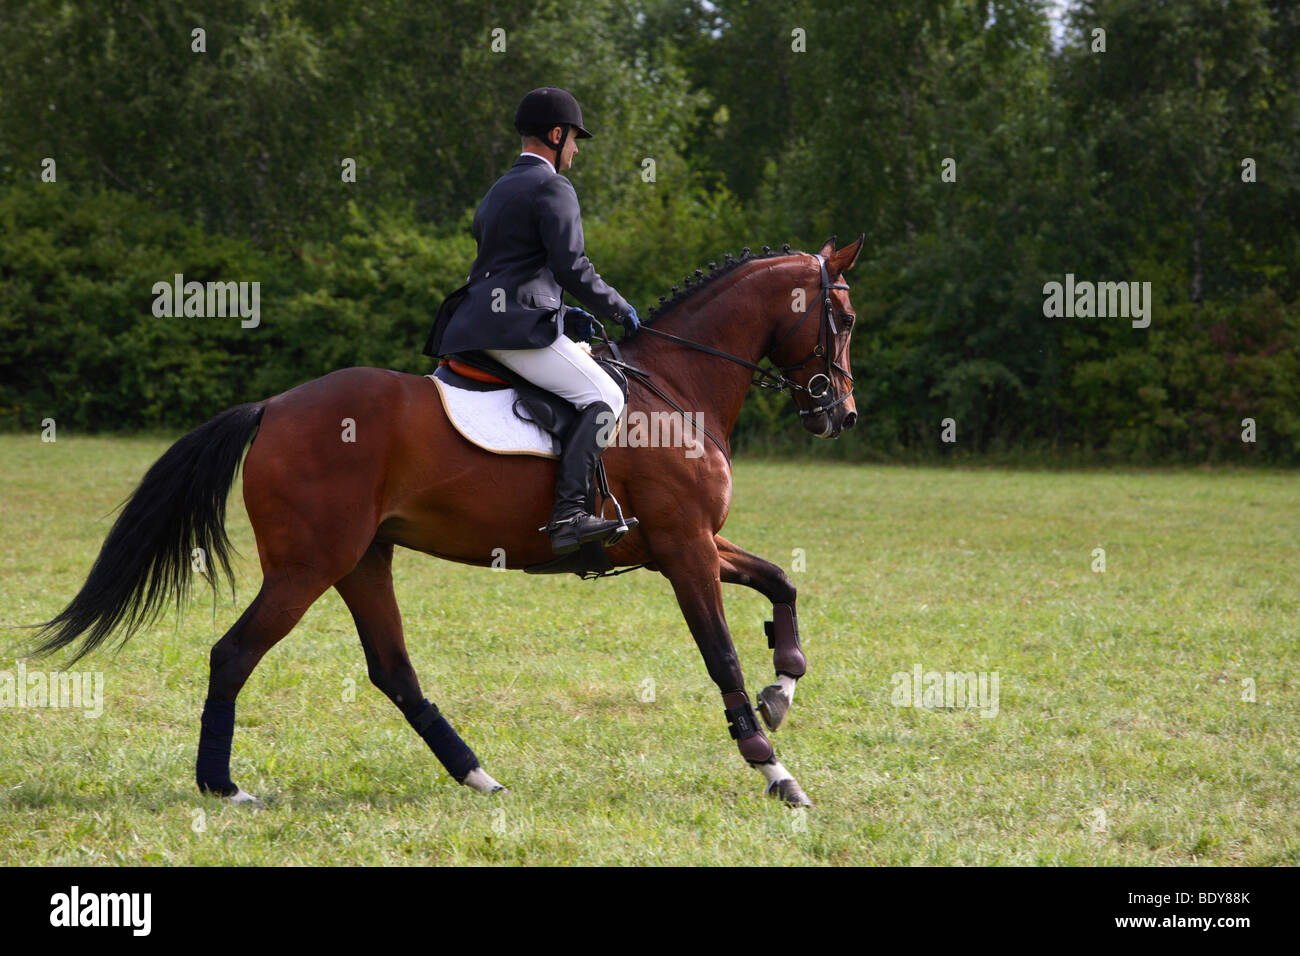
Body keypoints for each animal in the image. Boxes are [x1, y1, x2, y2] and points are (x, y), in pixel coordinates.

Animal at [29, 234, 863, 807]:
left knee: (392, 670)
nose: (842, 414)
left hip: (362, 559)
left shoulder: (684, 542)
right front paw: (773, 766)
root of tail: (272, 407)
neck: (676, 386)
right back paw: (223, 787)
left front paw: (784, 686)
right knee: (234, 655)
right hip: (308, 566)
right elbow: (720, 654)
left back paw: (478, 775)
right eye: (845, 317)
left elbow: (780, 583)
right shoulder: (684, 547)